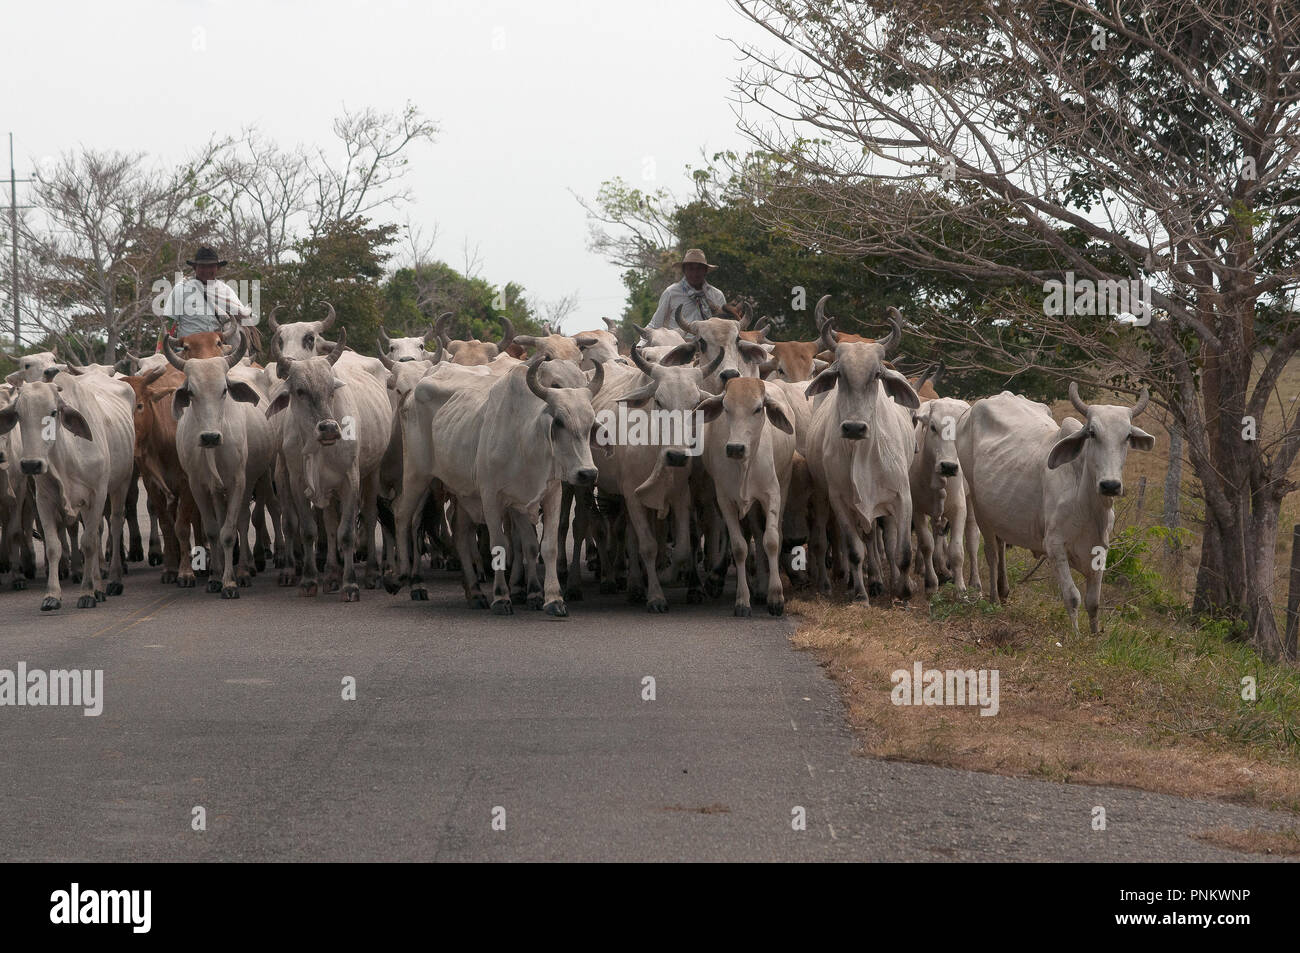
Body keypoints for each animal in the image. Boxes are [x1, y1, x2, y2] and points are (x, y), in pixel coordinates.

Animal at [956, 384, 1155, 634]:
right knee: (991, 553)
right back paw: (993, 598)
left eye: (1127, 435)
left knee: (1000, 545)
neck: (1087, 505)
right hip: (979, 506)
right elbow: (1073, 597)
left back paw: (1004, 592)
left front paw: (1094, 635)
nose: (1110, 485)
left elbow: (1093, 601)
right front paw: (1076, 636)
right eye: (1092, 433)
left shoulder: (1100, 548)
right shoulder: (1055, 546)